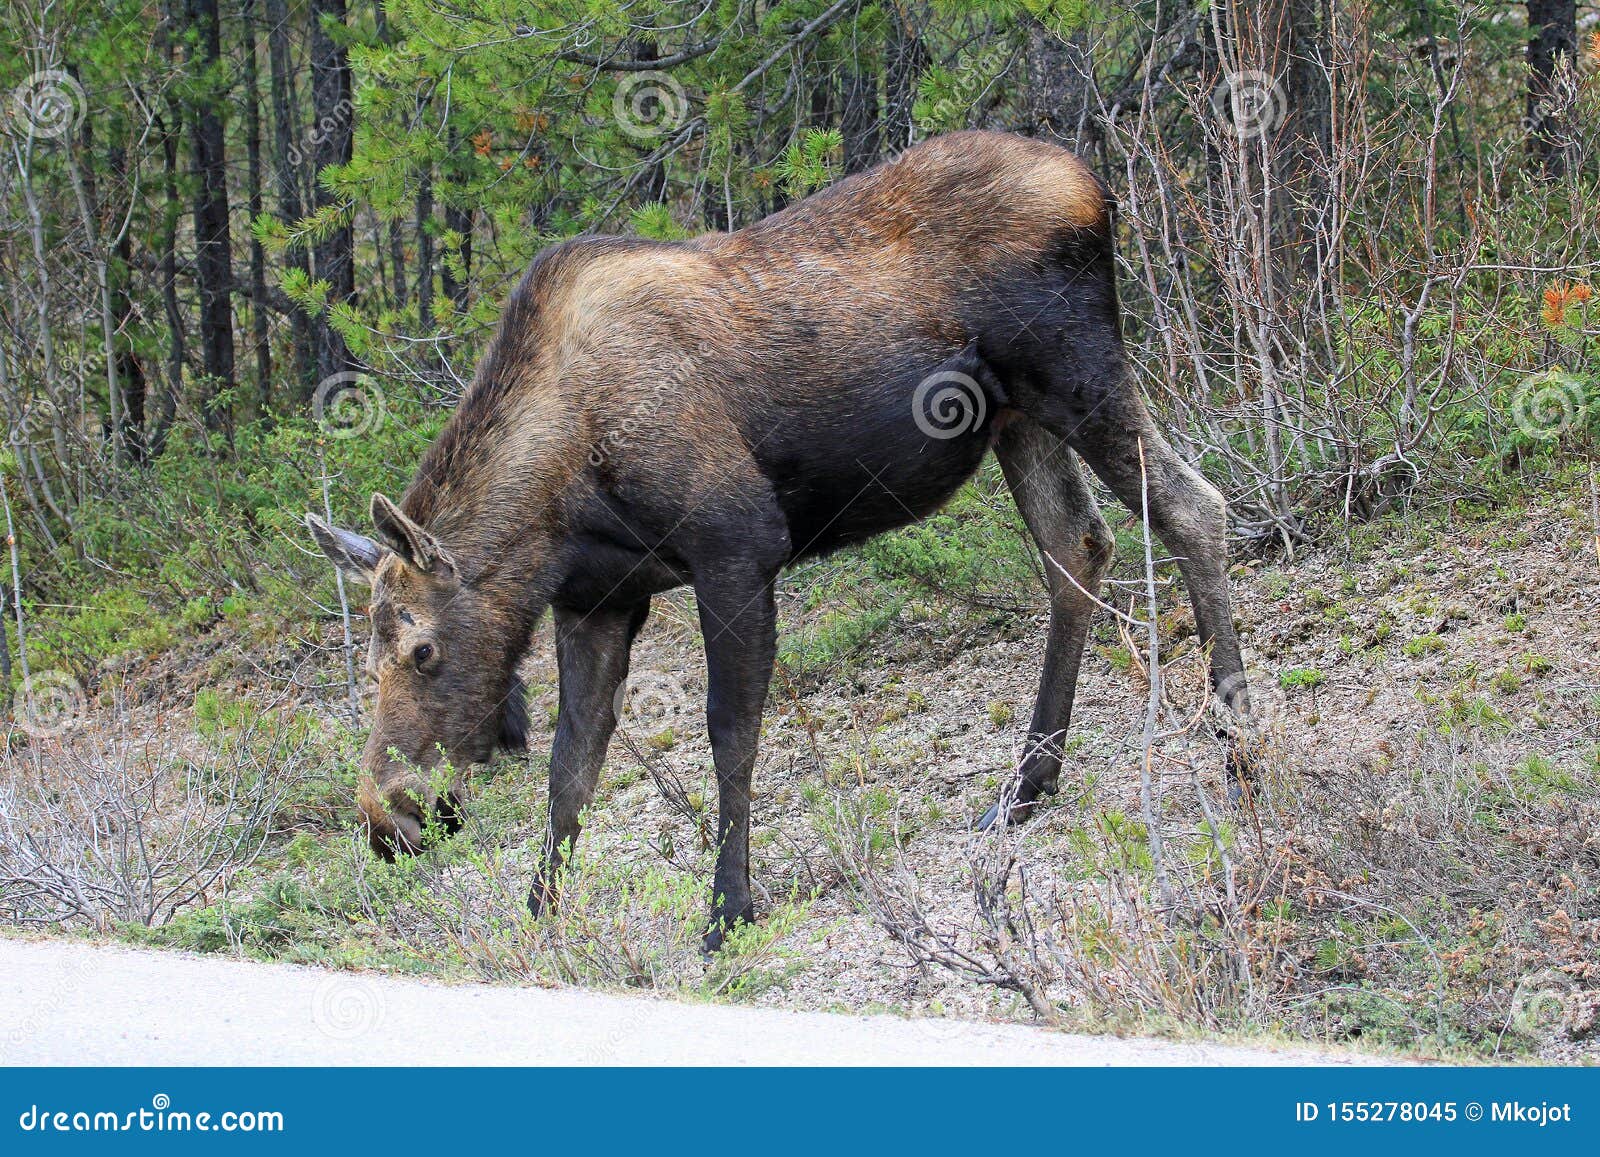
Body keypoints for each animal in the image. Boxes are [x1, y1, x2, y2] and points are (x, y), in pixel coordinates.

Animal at [306, 130, 1253, 951]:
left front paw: (728, 907)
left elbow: (730, 733)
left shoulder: (737, 545)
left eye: (424, 649)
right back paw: (1025, 786)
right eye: (371, 658)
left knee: (1195, 508)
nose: (386, 817)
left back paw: (1240, 753)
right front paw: (540, 915)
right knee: (1077, 551)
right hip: (1019, 416)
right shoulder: (597, 603)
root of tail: (1097, 189)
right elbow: (571, 768)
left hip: (1076, 372)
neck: (556, 507)